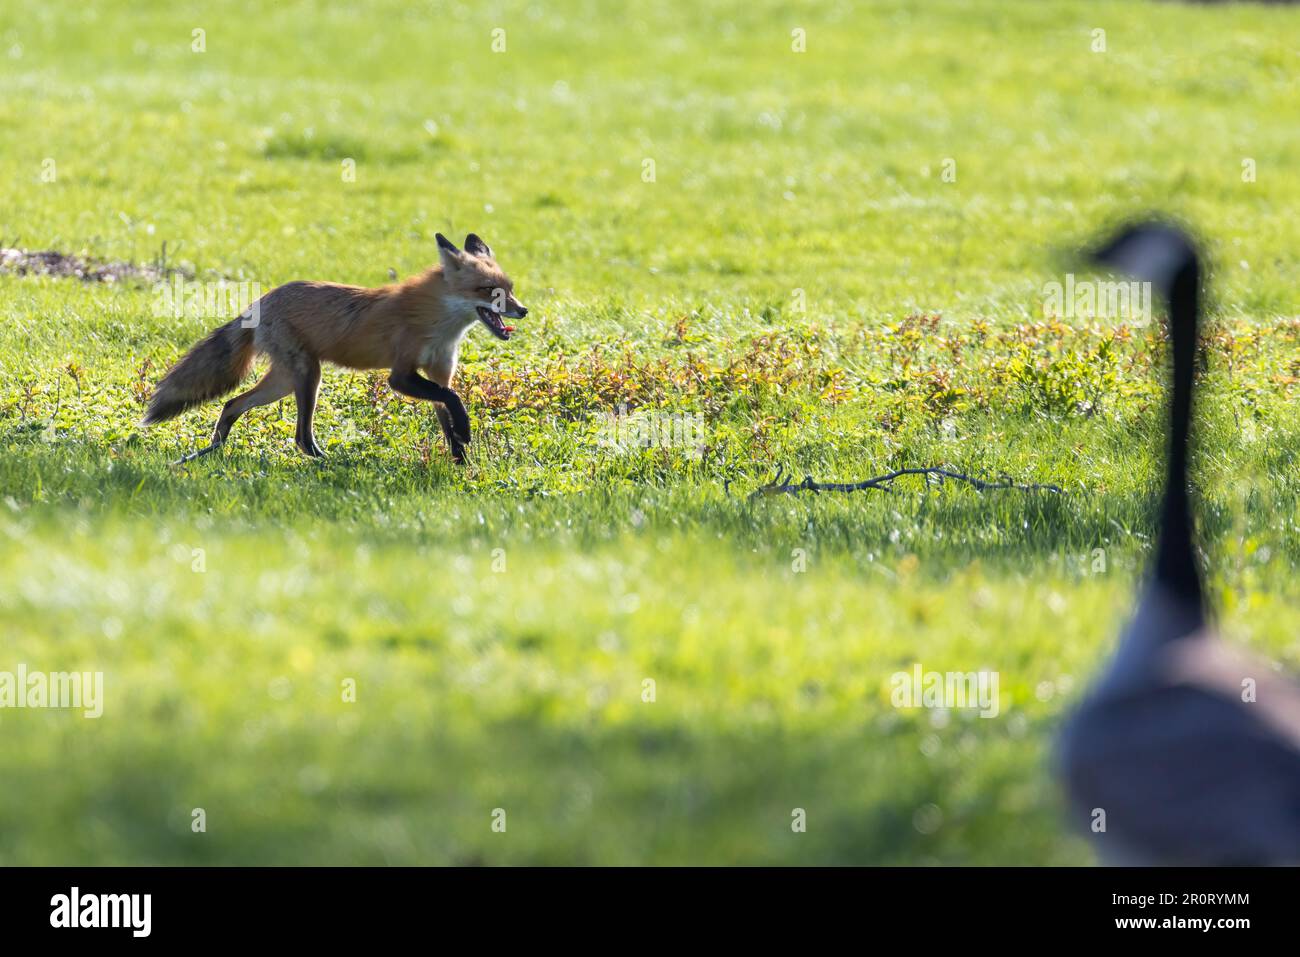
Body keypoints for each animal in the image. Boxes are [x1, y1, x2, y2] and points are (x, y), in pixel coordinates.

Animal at [143, 232, 526, 464]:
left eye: (509, 289)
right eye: (490, 290)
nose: (523, 311)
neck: (437, 321)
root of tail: (259, 301)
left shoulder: (440, 372)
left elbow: (448, 414)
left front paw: (462, 464)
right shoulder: (401, 374)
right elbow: (453, 400)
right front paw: (465, 434)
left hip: (284, 381)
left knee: (232, 403)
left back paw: (215, 447)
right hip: (307, 377)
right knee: (299, 435)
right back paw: (326, 461)